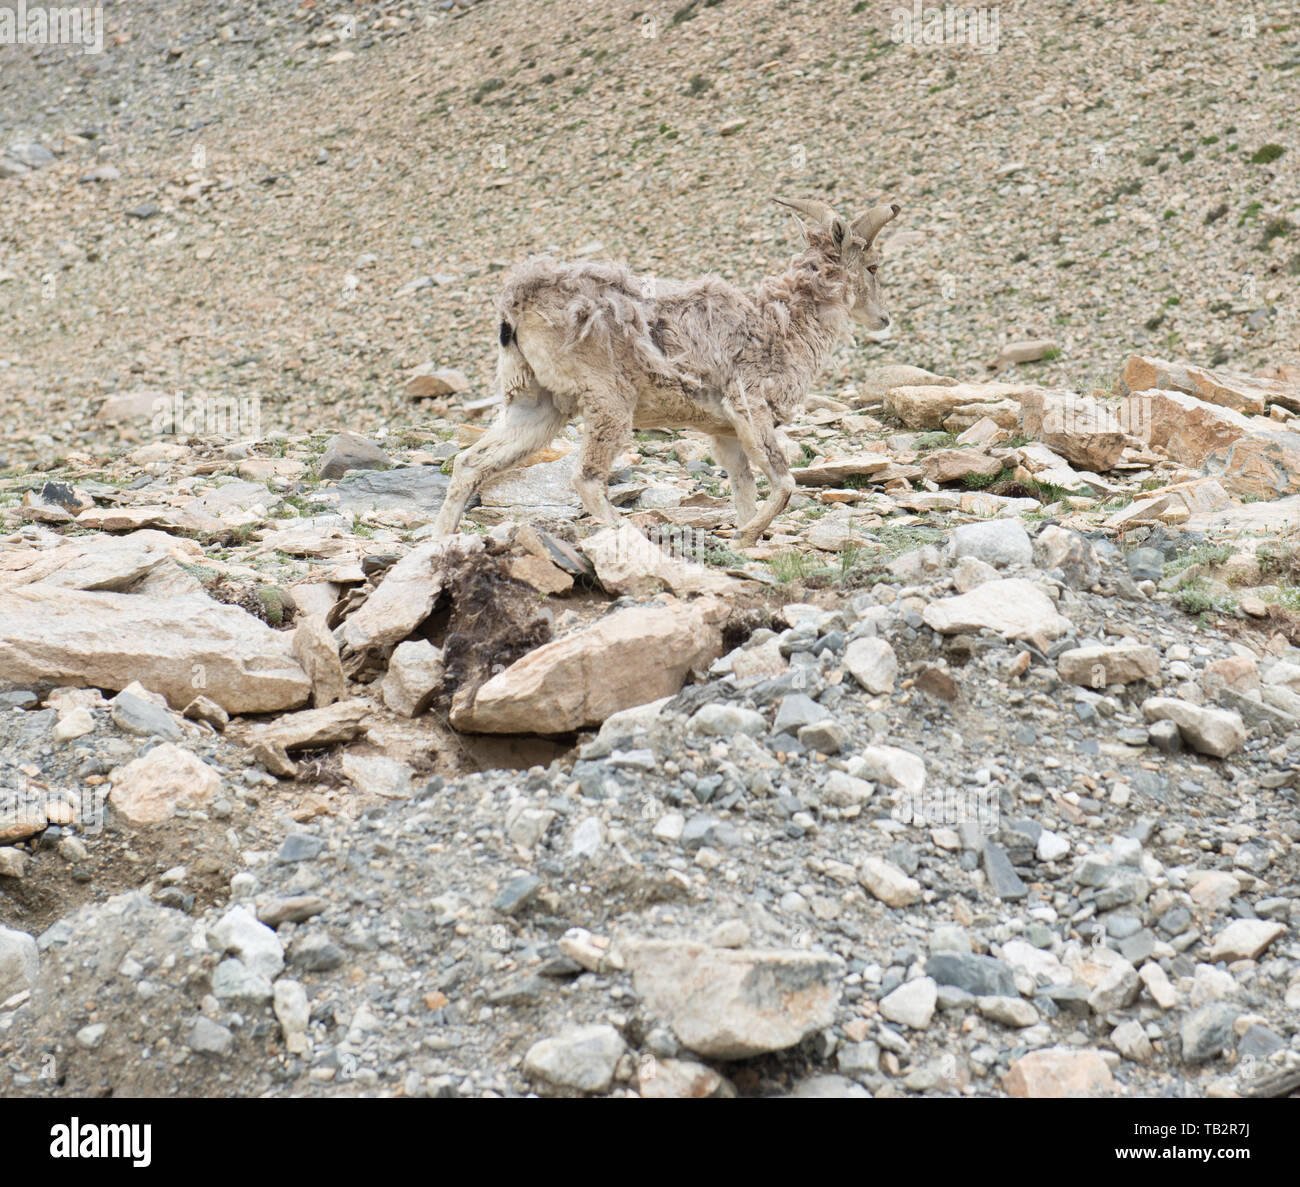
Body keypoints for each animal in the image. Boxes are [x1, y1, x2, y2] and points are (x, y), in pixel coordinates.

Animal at [433, 196, 901, 547]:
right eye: (873, 266)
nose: (884, 318)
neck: (784, 325)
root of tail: (517, 301)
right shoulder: (749, 405)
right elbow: (785, 483)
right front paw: (744, 535)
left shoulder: (726, 434)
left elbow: (745, 490)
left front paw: (746, 539)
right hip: (608, 399)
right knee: (586, 479)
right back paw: (625, 533)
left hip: (537, 404)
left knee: (471, 463)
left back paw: (442, 540)